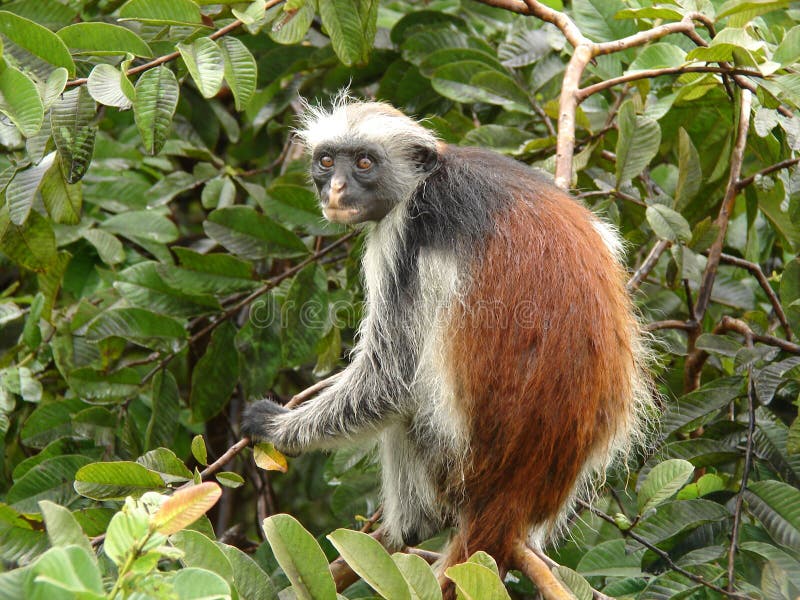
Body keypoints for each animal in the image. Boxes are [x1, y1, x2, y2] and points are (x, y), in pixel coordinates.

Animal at [242, 94, 653, 590]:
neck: (433, 174)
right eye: (326, 161)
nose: (336, 189)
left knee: (407, 406)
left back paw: (411, 525)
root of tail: (510, 496)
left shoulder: (405, 233)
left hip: (450, 457)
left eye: (364, 163)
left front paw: (274, 426)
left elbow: (389, 381)